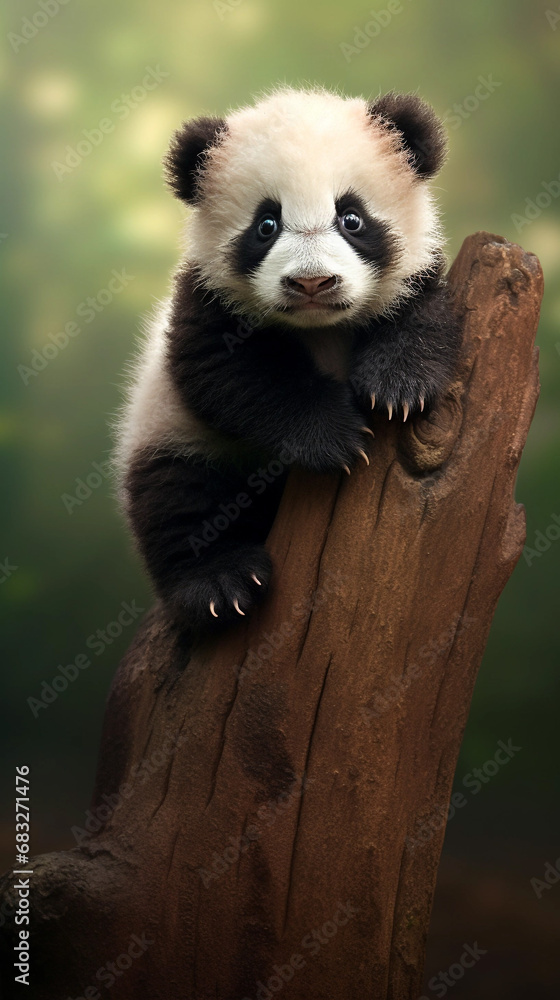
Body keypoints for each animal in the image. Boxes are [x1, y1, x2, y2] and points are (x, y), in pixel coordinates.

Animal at [115, 86, 461, 631]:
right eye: (266, 224)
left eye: (351, 218)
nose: (312, 282)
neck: (319, 327)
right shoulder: (204, 304)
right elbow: (228, 374)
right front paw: (334, 437)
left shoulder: (418, 273)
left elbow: (423, 315)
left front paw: (398, 387)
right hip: (167, 428)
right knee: (178, 496)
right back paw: (219, 583)